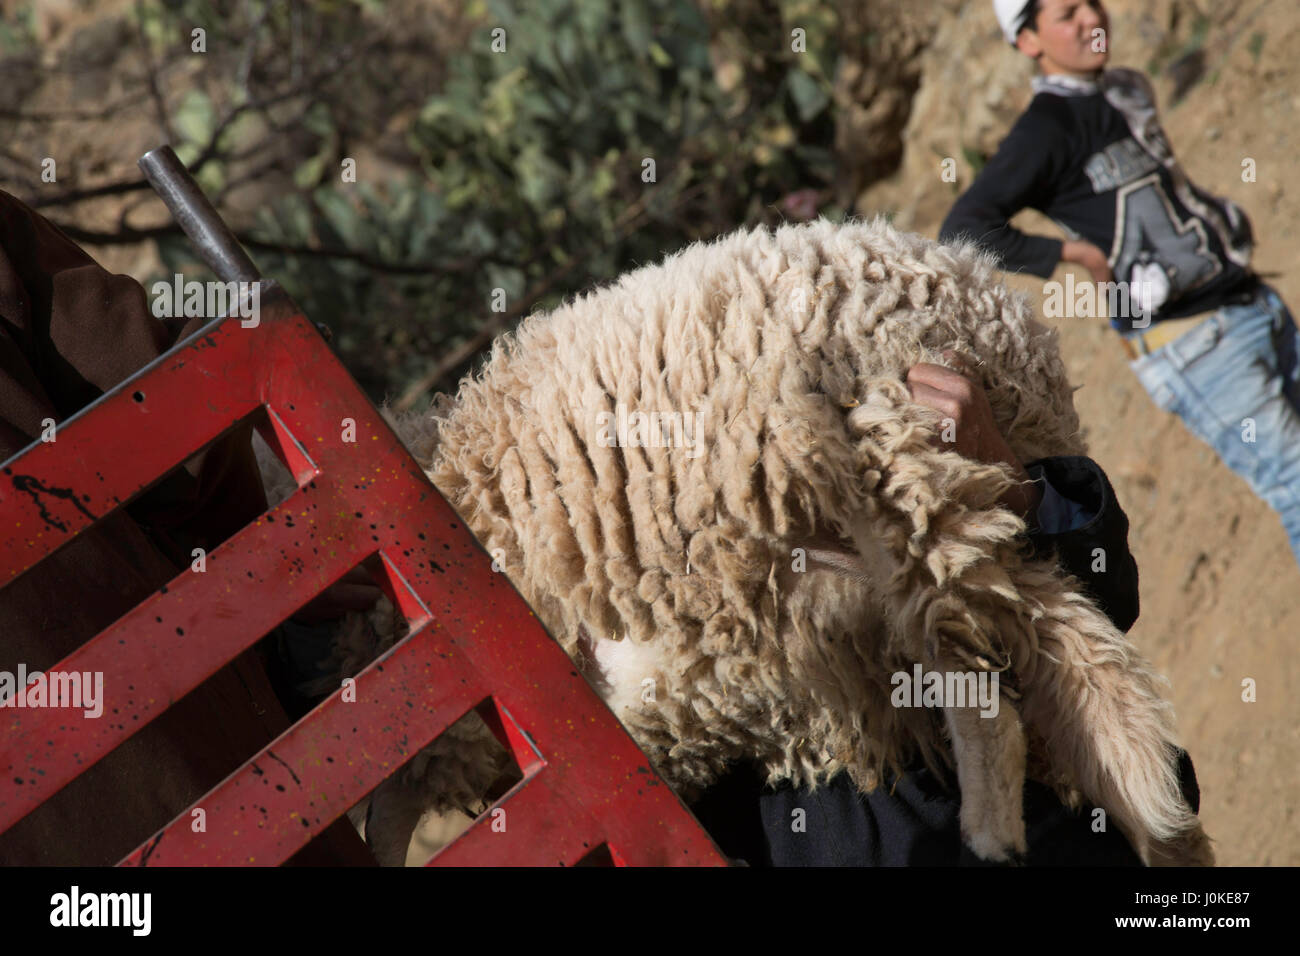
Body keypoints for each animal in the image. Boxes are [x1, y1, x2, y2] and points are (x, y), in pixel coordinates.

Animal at [275, 217, 1213, 867]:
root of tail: (987, 307)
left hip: (875, 466)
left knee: (991, 677)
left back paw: (998, 828)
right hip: (917, 524)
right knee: (1056, 650)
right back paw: (1156, 826)